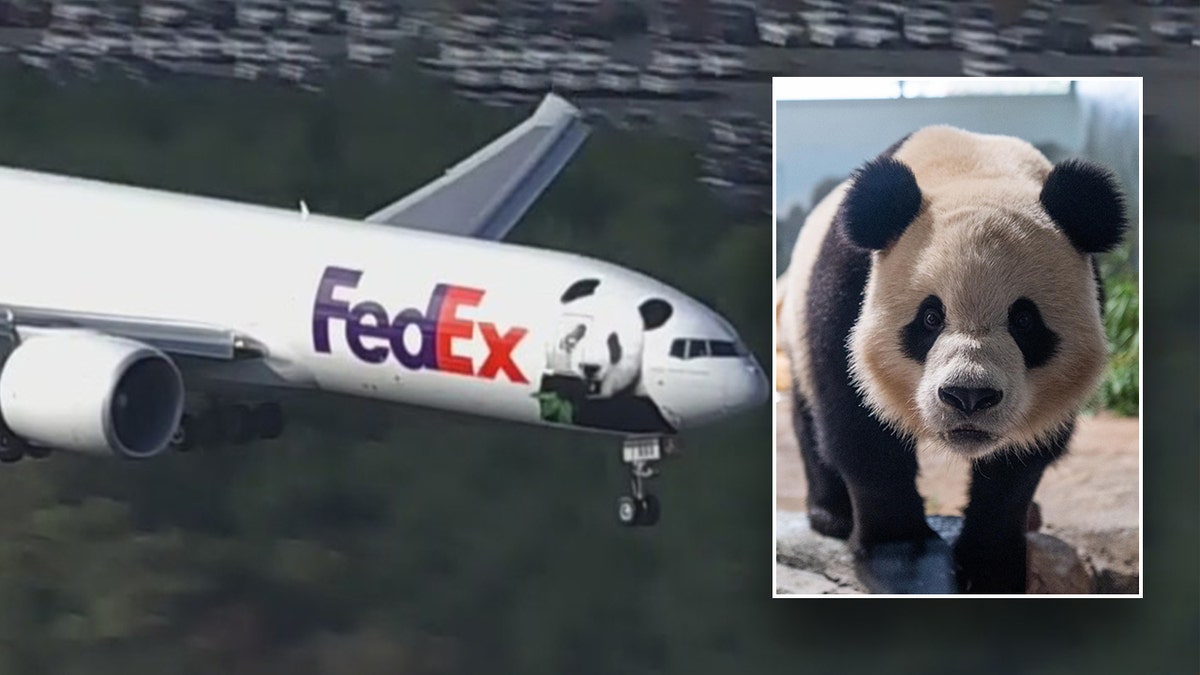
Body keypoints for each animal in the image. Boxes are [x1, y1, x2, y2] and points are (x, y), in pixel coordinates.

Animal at [778, 125, 1127, 594]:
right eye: (930, 317)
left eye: (1024, 321)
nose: (968, 397)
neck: (974, 169)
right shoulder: (847, 285)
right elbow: (858, 424)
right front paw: (904, 560)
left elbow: (1019, 465)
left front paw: (991, 565)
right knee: (810, 417)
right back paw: (831, 514)